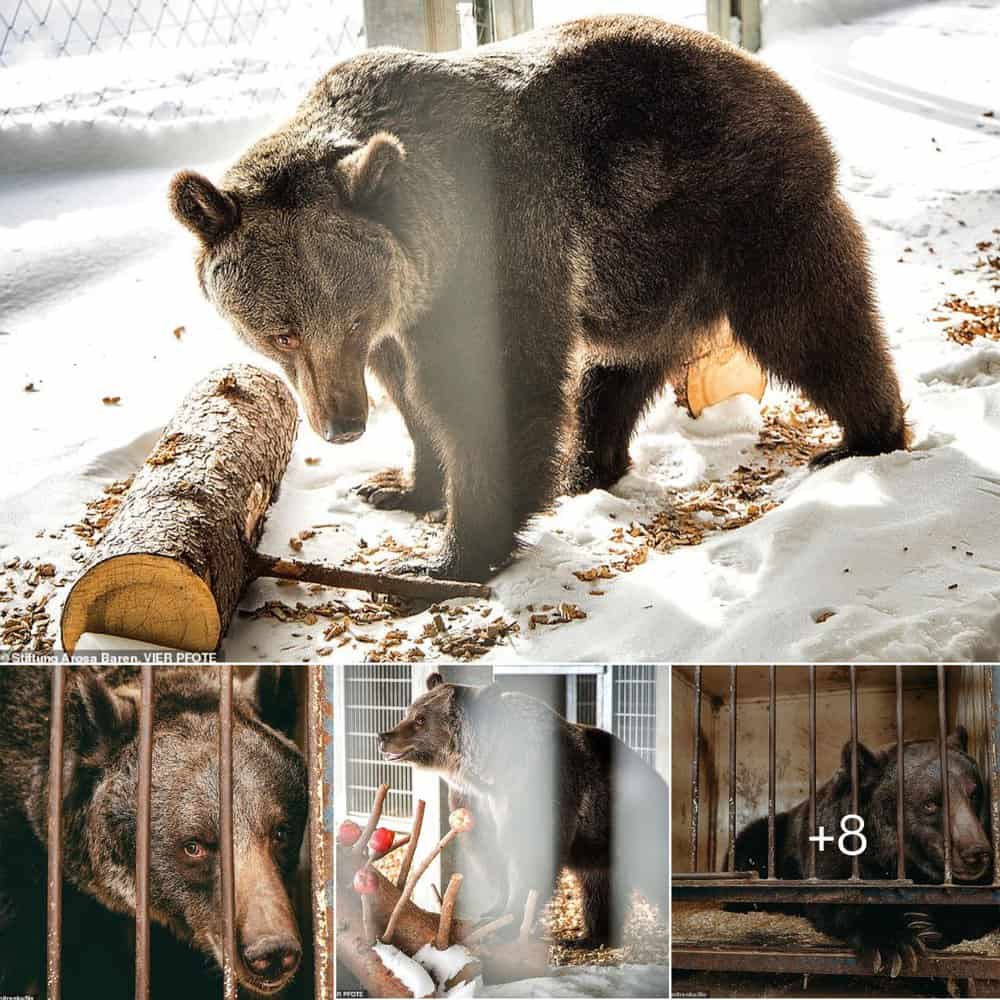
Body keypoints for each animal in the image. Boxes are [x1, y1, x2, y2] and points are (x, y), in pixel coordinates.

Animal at [167, 15, 908, 582]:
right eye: (281, 332)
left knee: (809, 322)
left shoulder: (495, 251)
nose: (341, 425)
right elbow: (411, 396)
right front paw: (401, 486)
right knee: (617, 368)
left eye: (345, 320)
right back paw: (585, 464)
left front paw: (453, 554)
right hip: (645, 267)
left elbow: (494, 389)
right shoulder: (403, 312)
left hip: (743, 209)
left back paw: (862, 437)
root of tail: (781, 85)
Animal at [377, 672, 668, 947]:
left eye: (420, 719)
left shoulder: (536, 789)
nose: (383, 736)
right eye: (409, 711)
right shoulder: (475, 802)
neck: (491, 773)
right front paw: (492, 912)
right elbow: (490, 855)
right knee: (598, 885)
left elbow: (529, 855)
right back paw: (589, 938)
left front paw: (507, 922)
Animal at [732, 728, 997, 978]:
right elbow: (836, 895)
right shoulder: (834, 842)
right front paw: (895, 944)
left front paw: (928, 922)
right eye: (930, 803)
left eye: (974, 793)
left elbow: (979, 901)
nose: (976, 852)